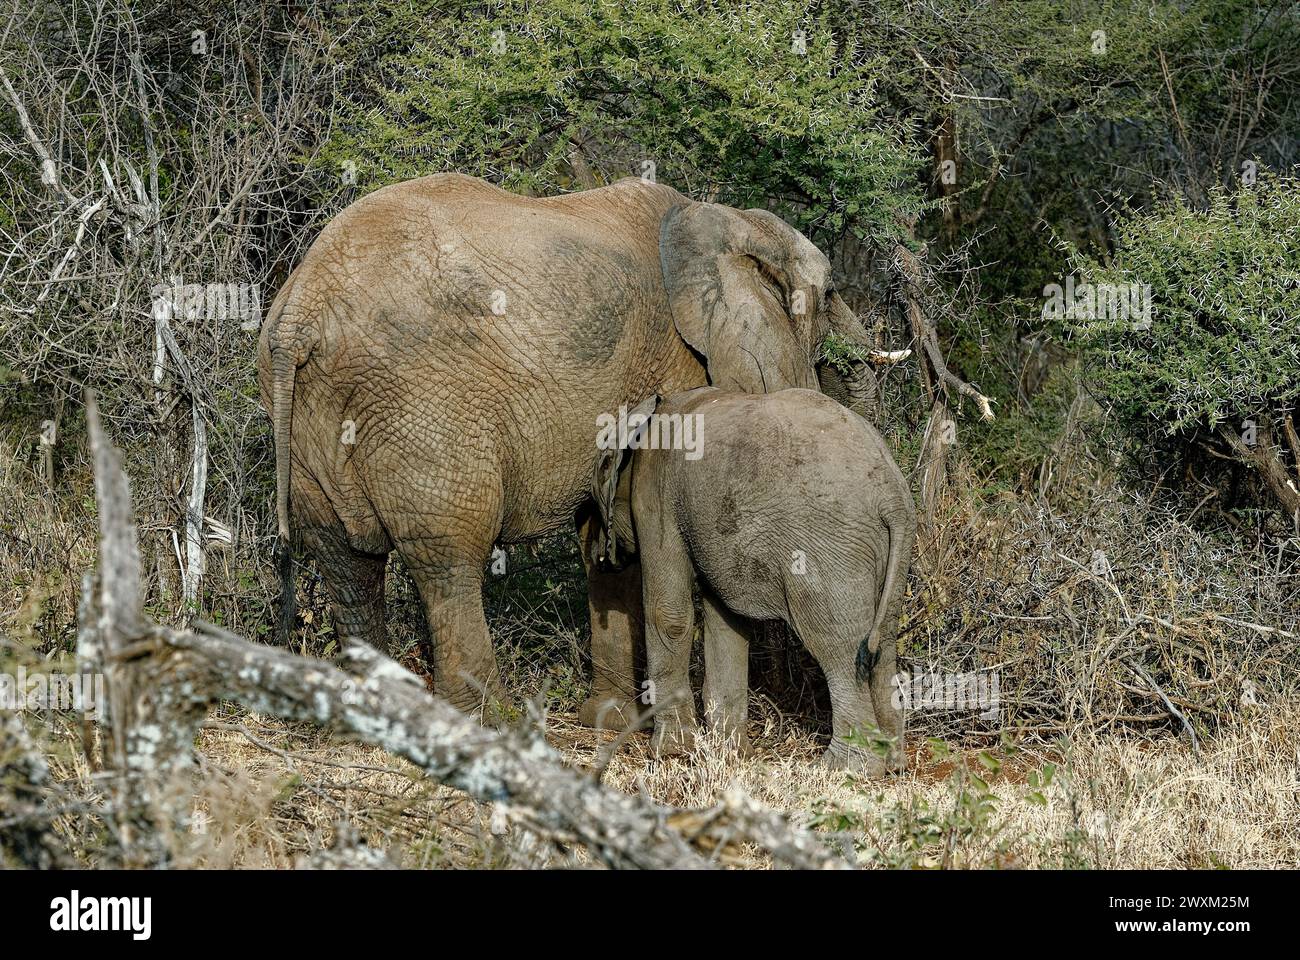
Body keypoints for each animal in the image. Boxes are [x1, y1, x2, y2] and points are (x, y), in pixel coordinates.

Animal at [258, 172, 897, 718]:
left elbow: (603, 540)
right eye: (830, 292)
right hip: (423, 404)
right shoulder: (677, 363)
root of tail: (300, 313)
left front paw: (609, 723)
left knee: (343, 559)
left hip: (313, 414)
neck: (721, 220)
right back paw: (491, 722)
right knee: (448, 557)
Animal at [590, 387, 916, 774]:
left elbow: (667, 612)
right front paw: (730, 753)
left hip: (829, 547)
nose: (598, 557)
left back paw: (842, 768)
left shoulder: (657, 496)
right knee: (885, 637)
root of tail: (891, 494)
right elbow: (729, 622)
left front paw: (670, 753)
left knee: (836, 641)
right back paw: (892, 762)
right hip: (890, 547)